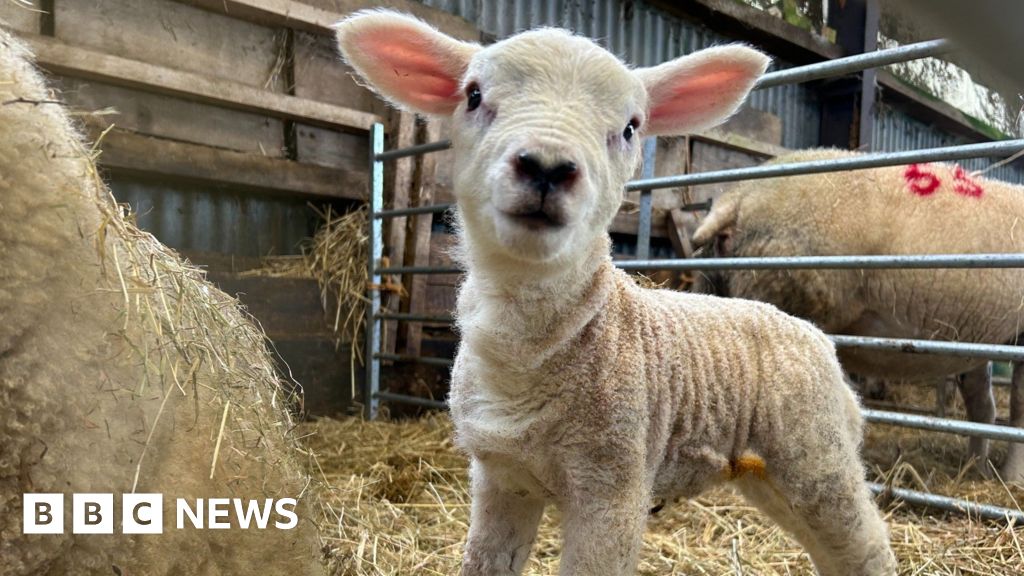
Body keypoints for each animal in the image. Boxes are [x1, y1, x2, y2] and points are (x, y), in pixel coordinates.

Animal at [336, 11, 896, 576]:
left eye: (631, 127)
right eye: (472, 96)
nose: (547, 166)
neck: (530, 353)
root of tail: (817, 339)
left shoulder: (613, 486)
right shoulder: (501, 478)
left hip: (815, 453)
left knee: (867, 544)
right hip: (769, 472)